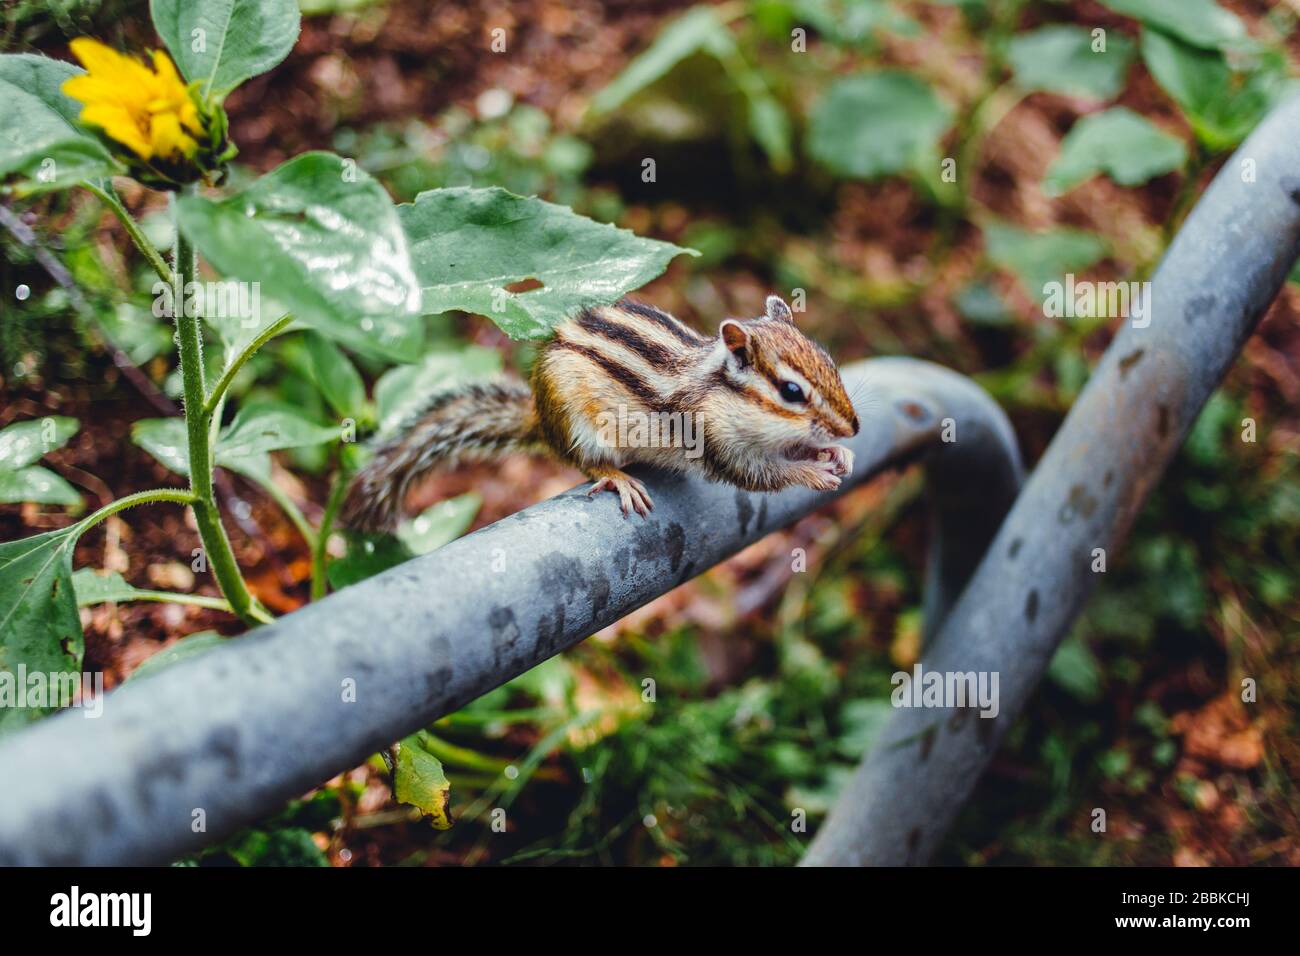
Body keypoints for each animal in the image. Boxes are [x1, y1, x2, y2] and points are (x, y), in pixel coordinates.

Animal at [340, 295, 860, 531]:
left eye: (831, 362)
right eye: (791, 391)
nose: (853, 427)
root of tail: (540, 417)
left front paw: (838, 455)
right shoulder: (712, 438)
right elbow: (756, 475)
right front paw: (812, 473)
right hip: (577, 423)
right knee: (583, 461)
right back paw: (617, 477)